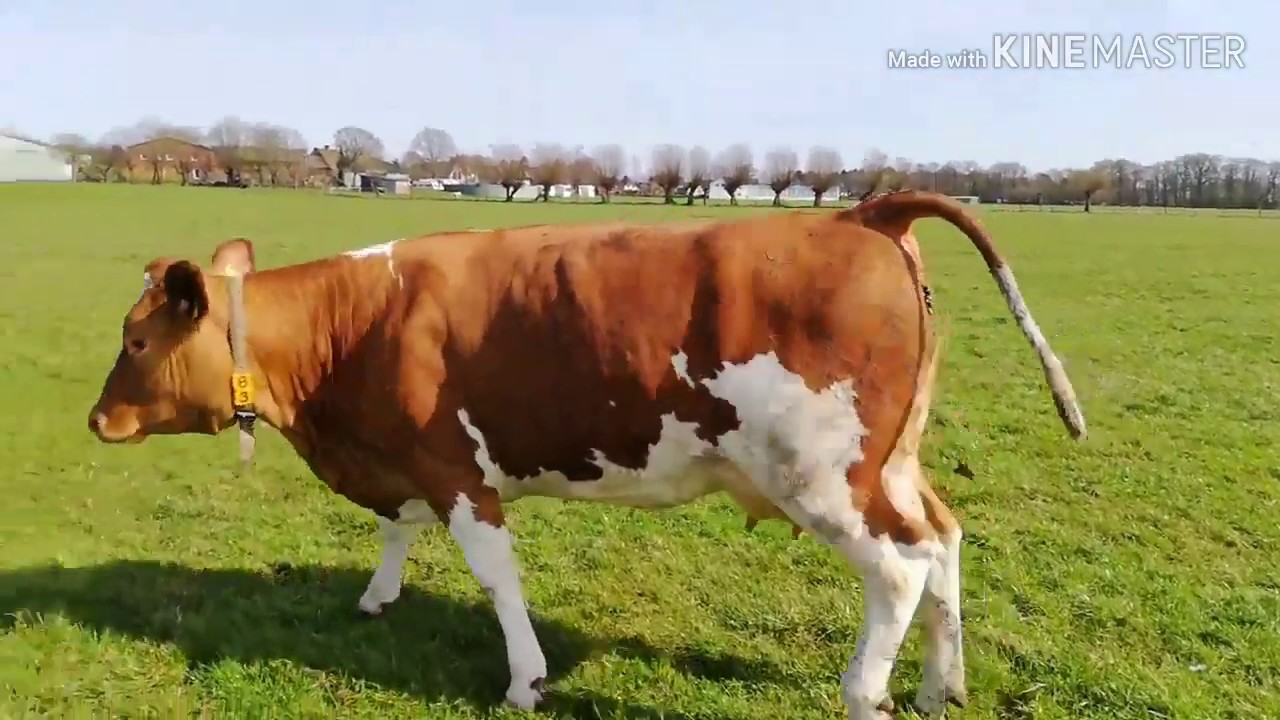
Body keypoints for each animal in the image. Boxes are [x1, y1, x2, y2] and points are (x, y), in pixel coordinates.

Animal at [86, 190, 1085, 720]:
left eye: (134, 342)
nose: (97, 422)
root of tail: (862, 212)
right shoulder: (407, 461)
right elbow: (396, 530)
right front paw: (378, 595)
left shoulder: (457, 471)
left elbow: (496, 578)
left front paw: (525, 678)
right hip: (893, 463)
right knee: (944, 541)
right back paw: (941, 685)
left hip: (824, 478)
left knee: (898, 569)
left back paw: (862, 689)